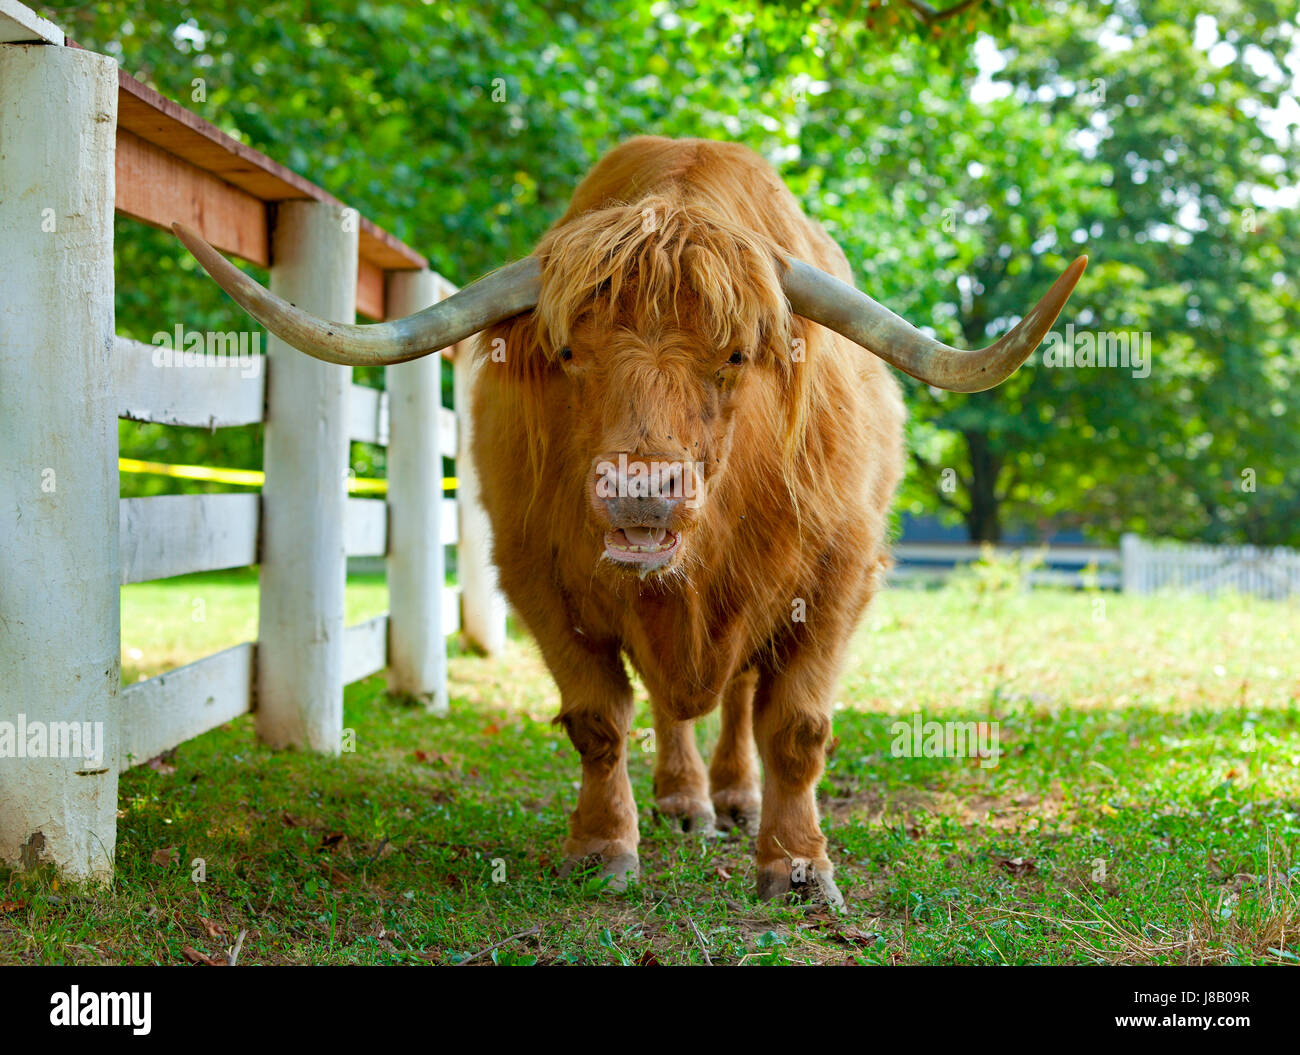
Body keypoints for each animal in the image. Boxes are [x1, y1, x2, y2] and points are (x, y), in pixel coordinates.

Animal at [175, 135, 1085, 907]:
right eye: (570, 353)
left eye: (734, 354)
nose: (640, 489)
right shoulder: (536, 578)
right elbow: (599, 718)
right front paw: (603, 847)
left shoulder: (836, 579)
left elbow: (795, 727)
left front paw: (796, 866)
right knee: (672, 702)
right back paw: (685, 801)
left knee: (741, 697)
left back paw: (734, 797)